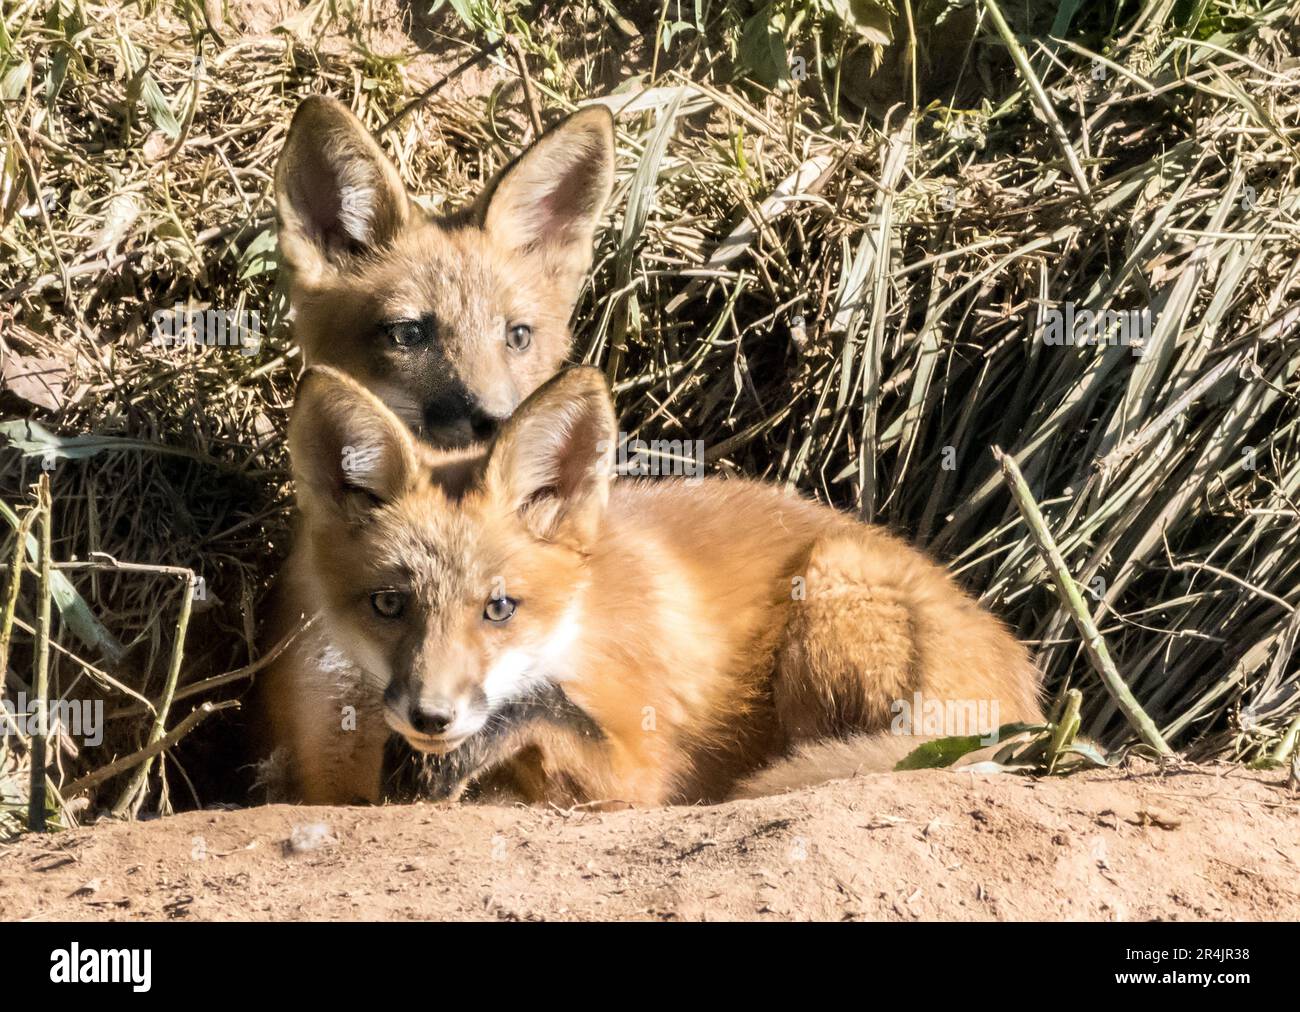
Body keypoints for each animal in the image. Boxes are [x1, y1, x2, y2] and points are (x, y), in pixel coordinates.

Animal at [279, 363, 1044, 807]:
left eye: (499, 607)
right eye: (388, 604)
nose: (431, 718)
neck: (574, 628)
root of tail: (1027, 685)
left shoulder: (641, 768)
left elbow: (553, 724)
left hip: (833, 586)